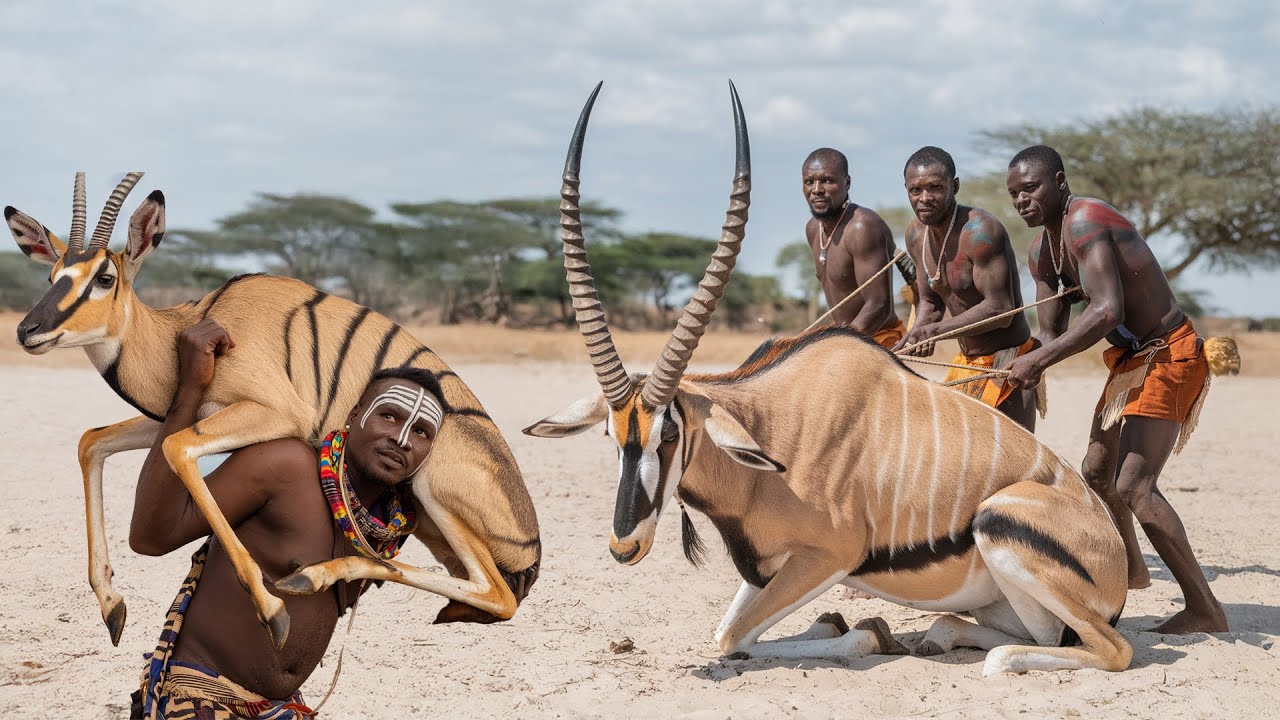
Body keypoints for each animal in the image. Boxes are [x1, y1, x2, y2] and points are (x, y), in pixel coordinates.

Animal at [6, 173, 540, 649]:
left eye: (105, 278)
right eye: (52, 275)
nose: (28, 331)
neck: (196, 323)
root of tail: (529, 542)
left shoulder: (273, 416)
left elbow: (178, 449)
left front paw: (273, 612)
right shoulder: (183, 412)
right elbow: (92, 441)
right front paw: (112, 606)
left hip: (432, 493)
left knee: (499, 595)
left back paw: (310, 579)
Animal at [524, 84, 1132, 676]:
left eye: (669, 434)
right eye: (611, 435)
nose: (623, 546)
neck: (774, 425)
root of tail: (1116, 565)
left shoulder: (827, 557)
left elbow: (742, 637)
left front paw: (863, 630)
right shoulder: (768, 569)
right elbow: (727, 634)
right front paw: (836, 624)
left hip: (1000, 525)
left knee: (1102, 651)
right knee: (974, 628)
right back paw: (940, 636)